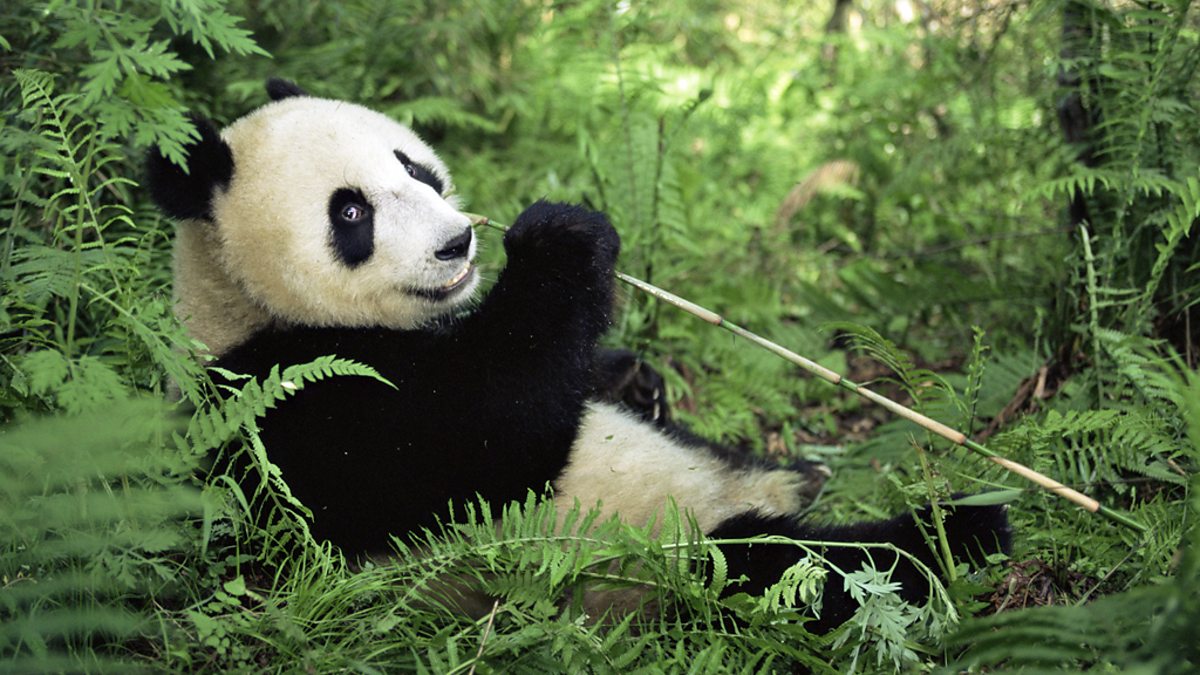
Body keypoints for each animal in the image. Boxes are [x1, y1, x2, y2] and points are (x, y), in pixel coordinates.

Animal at [147, 79, 1010, 632]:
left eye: (415, 167)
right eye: (350, 212)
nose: (457, 243)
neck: (241, 304)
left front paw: (634, 376)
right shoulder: (286, 405)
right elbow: (482, 436)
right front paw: (562, 240)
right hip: (658, 559)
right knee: (799, 568)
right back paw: (959, 532)